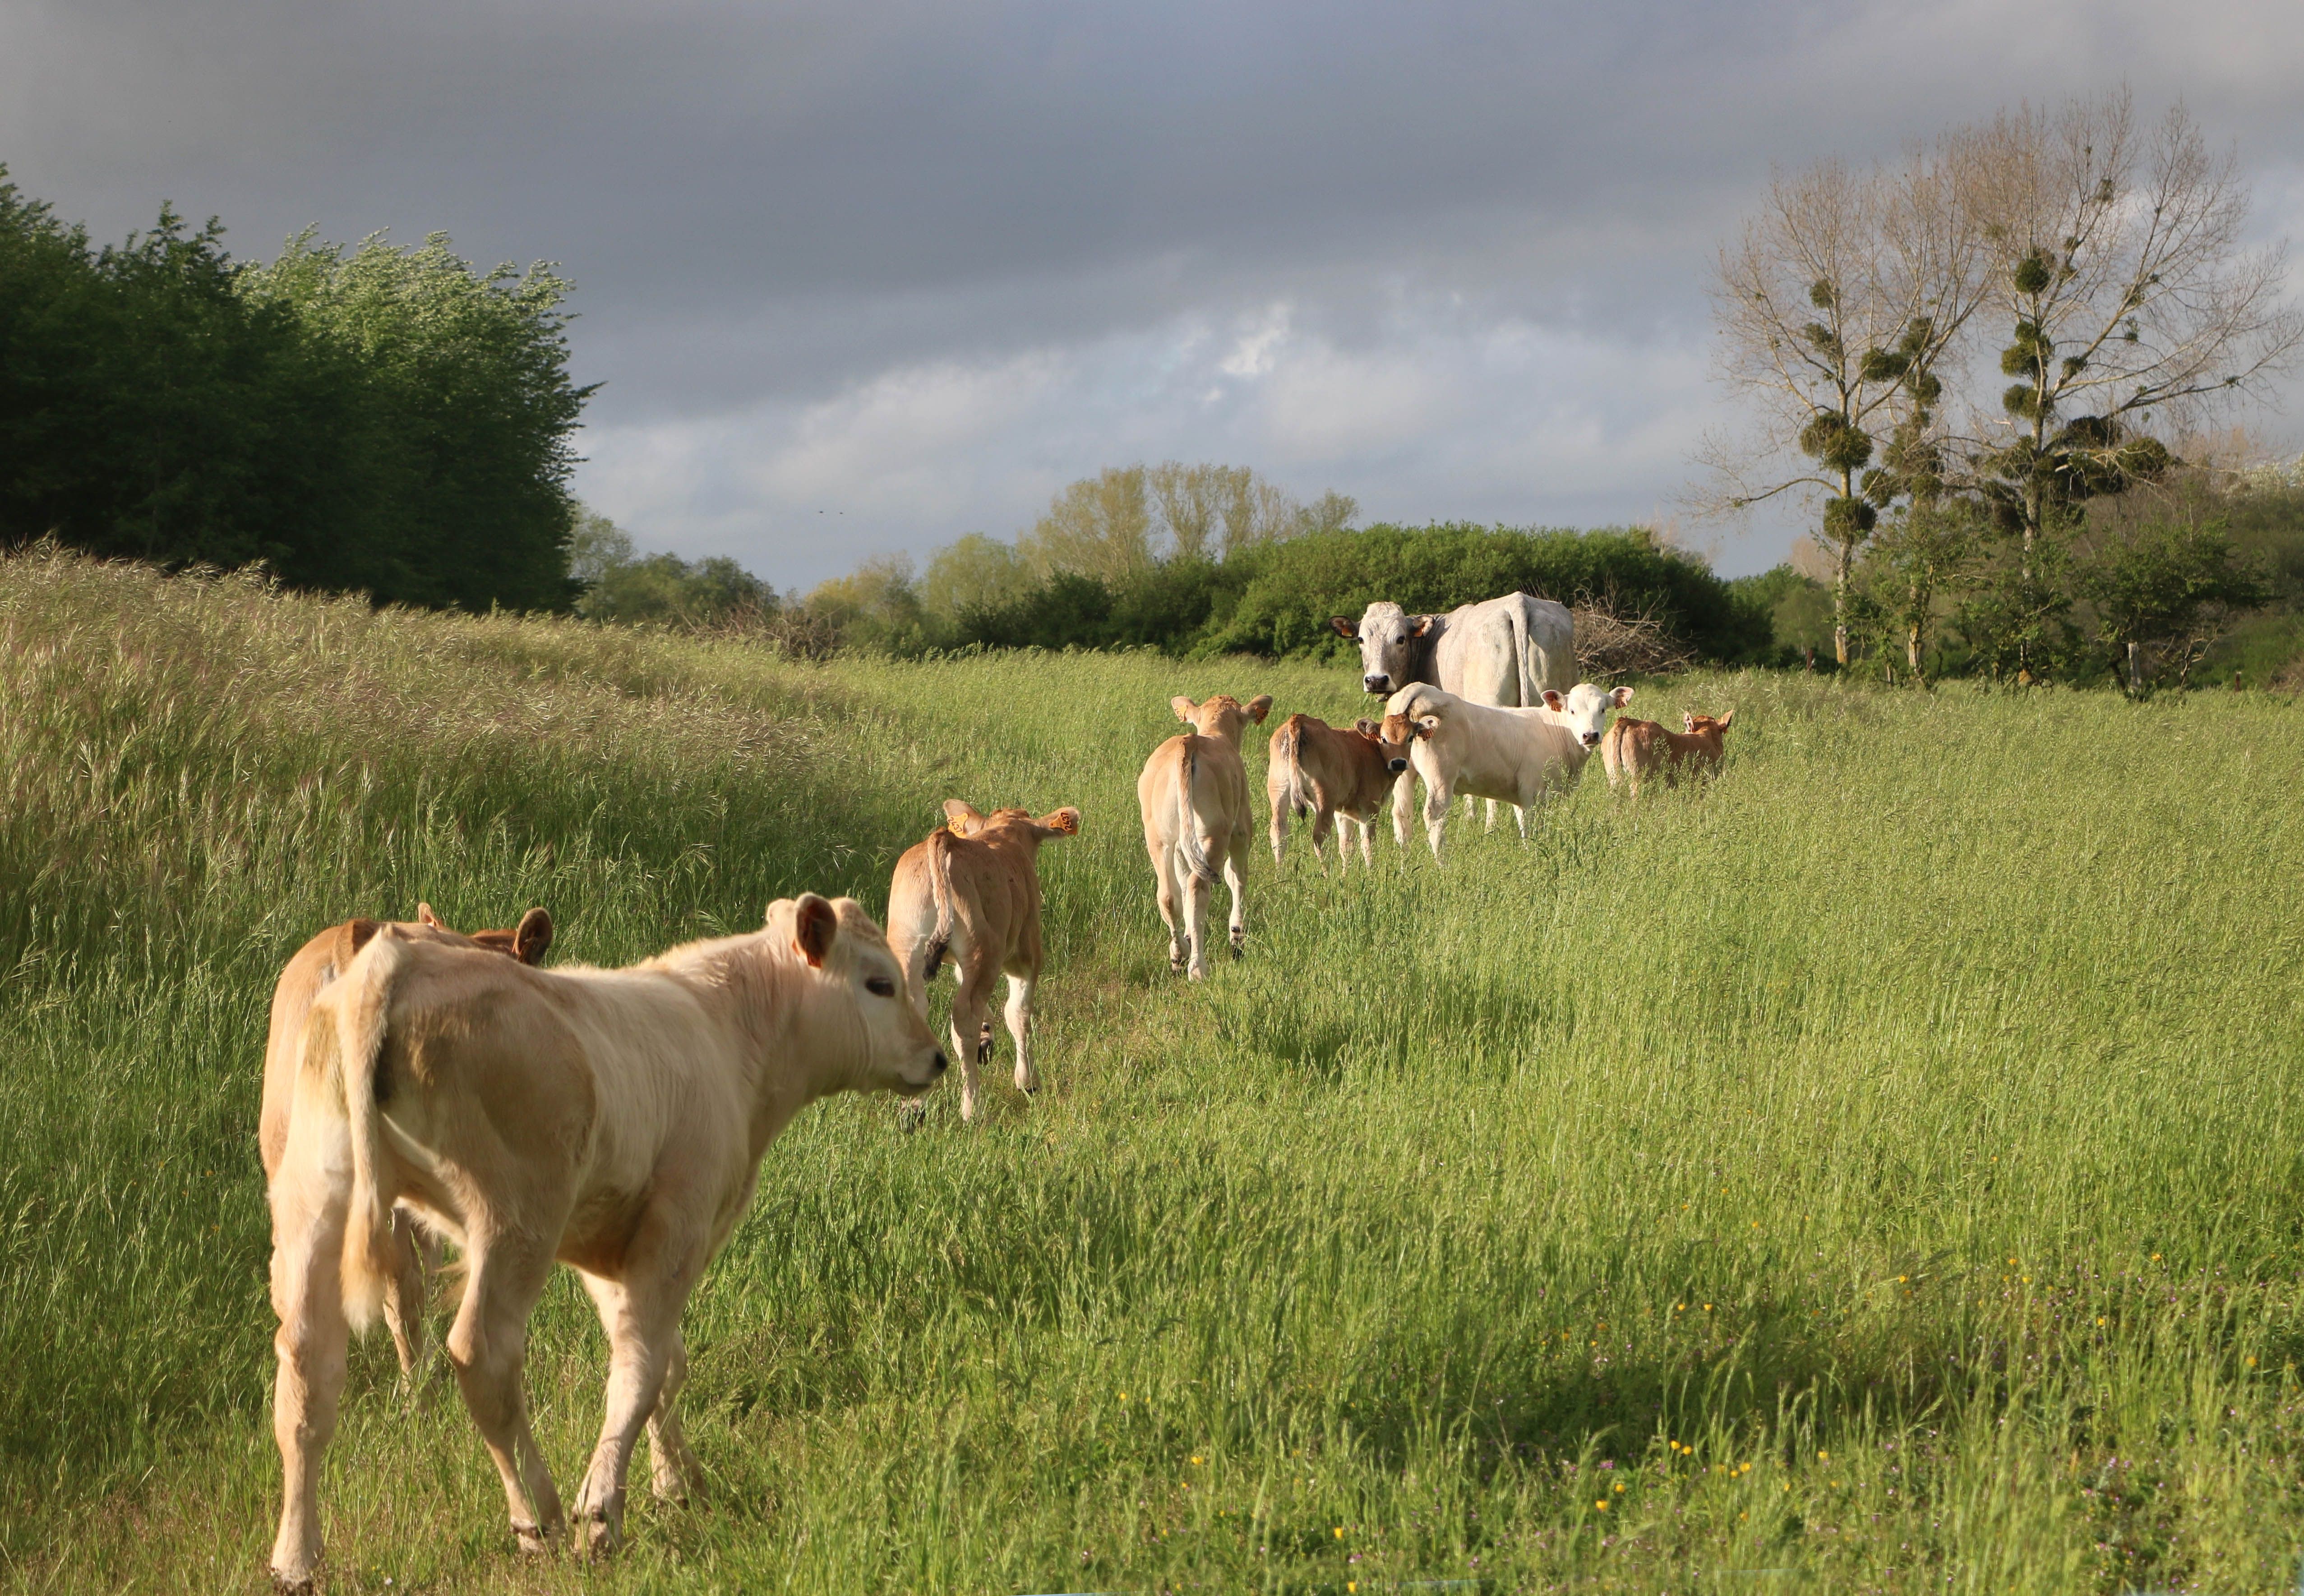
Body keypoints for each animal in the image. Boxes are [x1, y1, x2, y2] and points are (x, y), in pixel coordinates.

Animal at [886, 800, 1082, 1123]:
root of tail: (943, 841)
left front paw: (986, 1037)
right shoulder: (1026, 954)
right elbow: (1018, 1014)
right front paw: (1027, 1082)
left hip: (906, 944)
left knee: (916, 1010)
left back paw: (913, 1108)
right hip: (986, 951)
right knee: (965, 1018)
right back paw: (971, 1109)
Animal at [1137, 693, 1273, 979]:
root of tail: (1188, 743)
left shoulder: (1182, 846)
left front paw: (1190, 938)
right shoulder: (1242, 830)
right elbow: (1237, 877)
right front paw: (1237, 940)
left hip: (1159, 837)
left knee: (1170, 895)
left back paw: (1179, 955)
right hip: (1214, 834)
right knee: (1200, 888)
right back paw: (1198, 968)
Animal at [1265, 713, 1413, 873]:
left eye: (1411, 737)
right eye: (1384, 738)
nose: (1399, 763)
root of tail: (1299, 719)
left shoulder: (1341, 811)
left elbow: (1346, 845)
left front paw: (1345, 874)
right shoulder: (1369, 807)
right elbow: (1368, 841)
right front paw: (1371, 872)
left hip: (1279, 791)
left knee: (1279, 832)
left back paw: (1280, 873)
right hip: (1324, 799)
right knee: (1320, 836)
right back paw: (1328, 874)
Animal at [1330, 592, 1575, 835]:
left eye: (1400, 639)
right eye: (1361, 640)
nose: (1376, 680)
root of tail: (1518, 601)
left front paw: (1469, 818)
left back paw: (1491, 827)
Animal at [1382, 681, 1633, 860]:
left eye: (1603, 709)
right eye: (1572, 711)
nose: (1590, 735)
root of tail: (1422, 688)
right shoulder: (1533, 791)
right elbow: (1531, 827)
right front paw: (1535, 856)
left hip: (1404, 772)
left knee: (1402, 814)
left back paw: (1405, 864)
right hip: (1441, 774)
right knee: (1434, 815)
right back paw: (1442, 864)